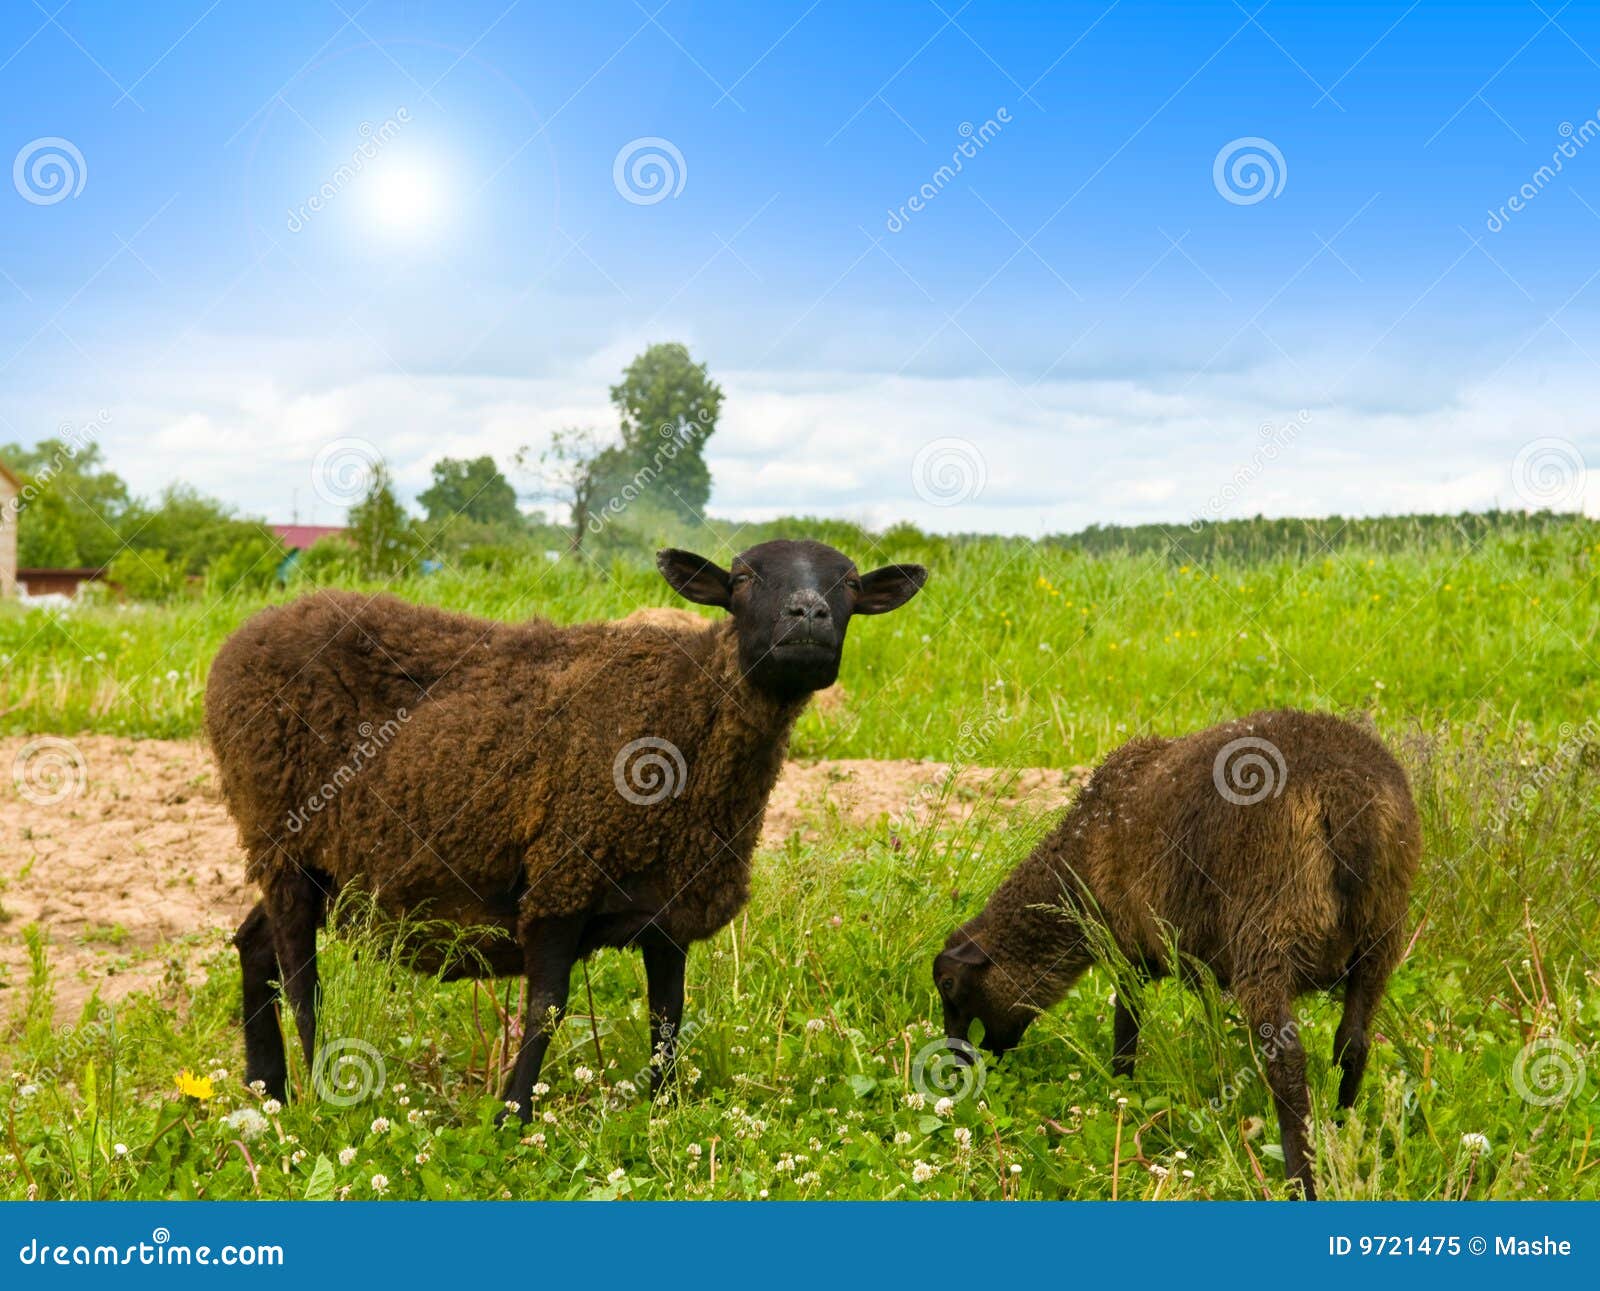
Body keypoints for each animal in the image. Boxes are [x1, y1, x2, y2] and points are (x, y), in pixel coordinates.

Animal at [207, 539, 926, 1118]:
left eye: (851, 584)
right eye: (745, 576)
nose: (808, 616)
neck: (690, 713)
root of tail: (243, 637)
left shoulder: (668, 907)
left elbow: (668, 1013)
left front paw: (662, 1111)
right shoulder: (561, 877)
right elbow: (546, 1007)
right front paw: (512, 1118)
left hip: (319, 864)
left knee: (254, 946)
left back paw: (268, 1093)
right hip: (279, 837)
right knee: (300, 978)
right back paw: (322, 1094)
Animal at [933, 709, 1420, 1199]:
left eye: (948, 984)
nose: (958, 1071)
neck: (1075, 865)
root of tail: (1343, 796)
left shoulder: (1126, 947)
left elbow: (1126, 1023)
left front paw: (1119, 1089)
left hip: (1269, 934)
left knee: (1286, 1060)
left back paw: (1301, 1178)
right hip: (1380, 939)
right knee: (1352, 1044)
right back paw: (1342, 1137)